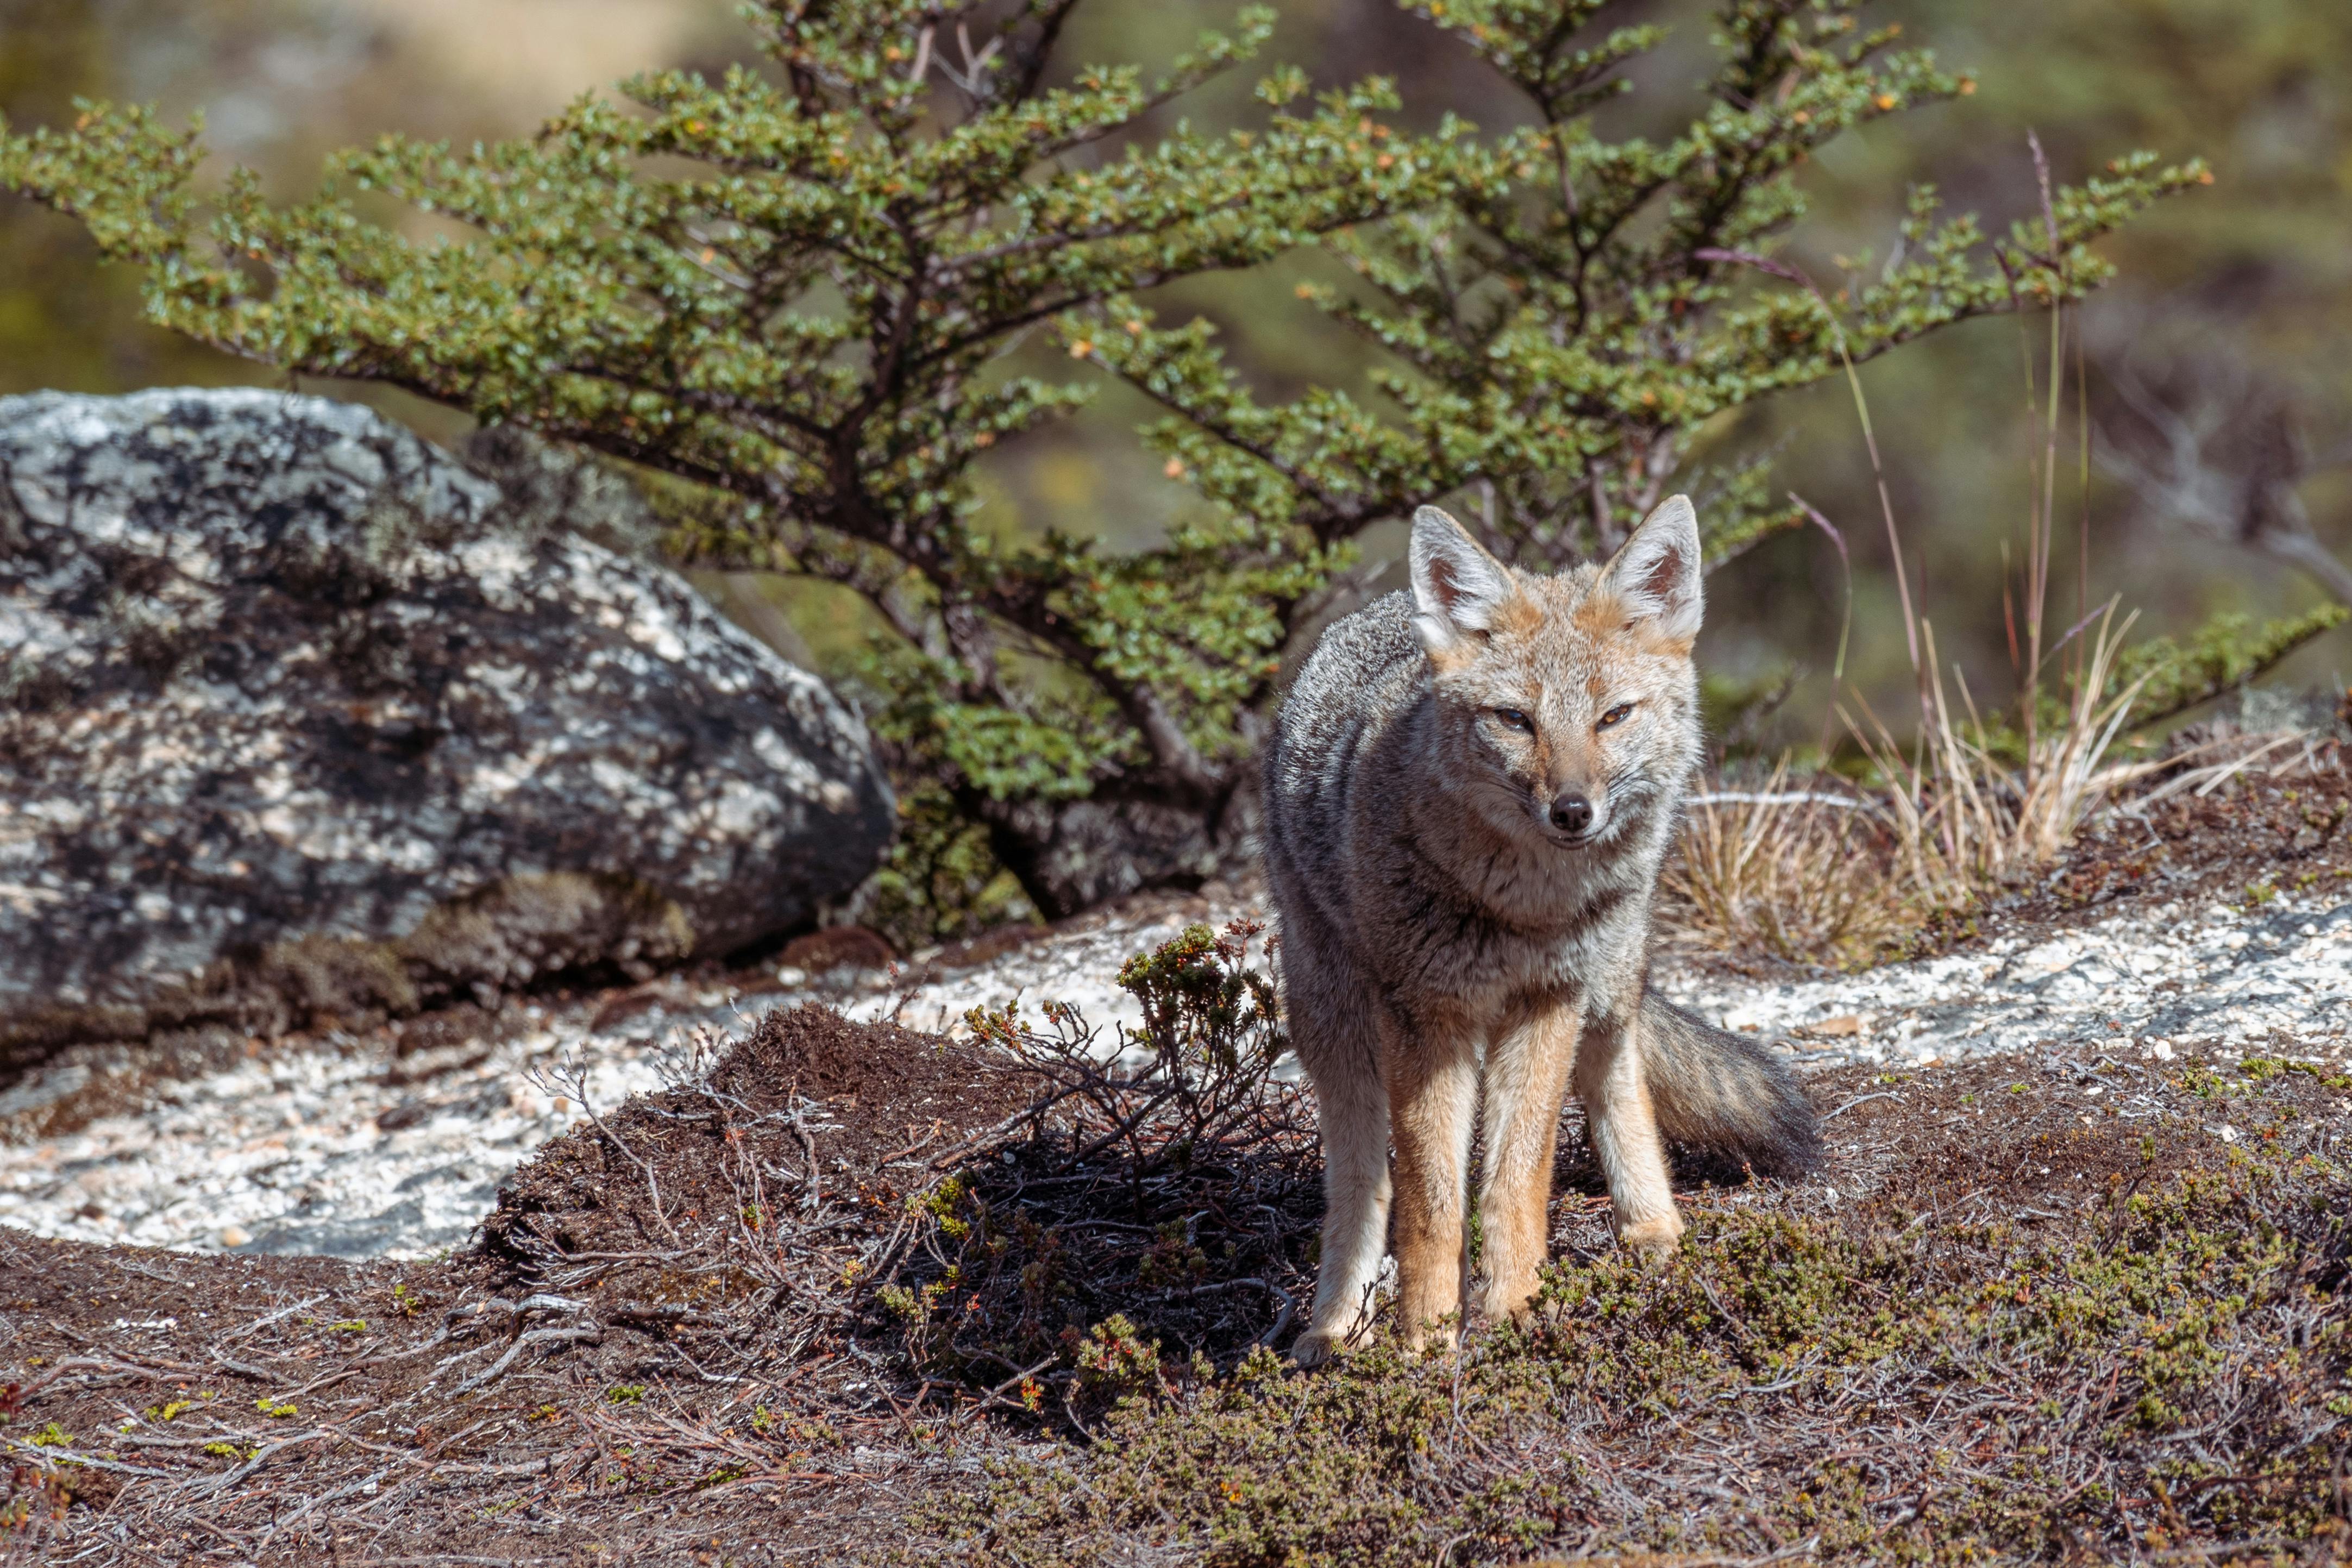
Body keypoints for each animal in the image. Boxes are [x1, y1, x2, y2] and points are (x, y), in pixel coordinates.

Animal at [1262, 494, 1821, 1366]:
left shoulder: (1551, 998)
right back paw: (1335, 1325)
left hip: (1610, 982)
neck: (1523, 909)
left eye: (1613, 717)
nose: (1571, 810)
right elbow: (1430, 1199)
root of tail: (1370, 614)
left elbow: (1516, 1178)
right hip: (1335, 1021)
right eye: (1515, 721)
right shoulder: (1426, 1017)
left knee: (1617, 1075)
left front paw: (1514, 1313)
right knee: (1360, 1179)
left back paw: (1653, 1228)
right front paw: (1426, 1342)